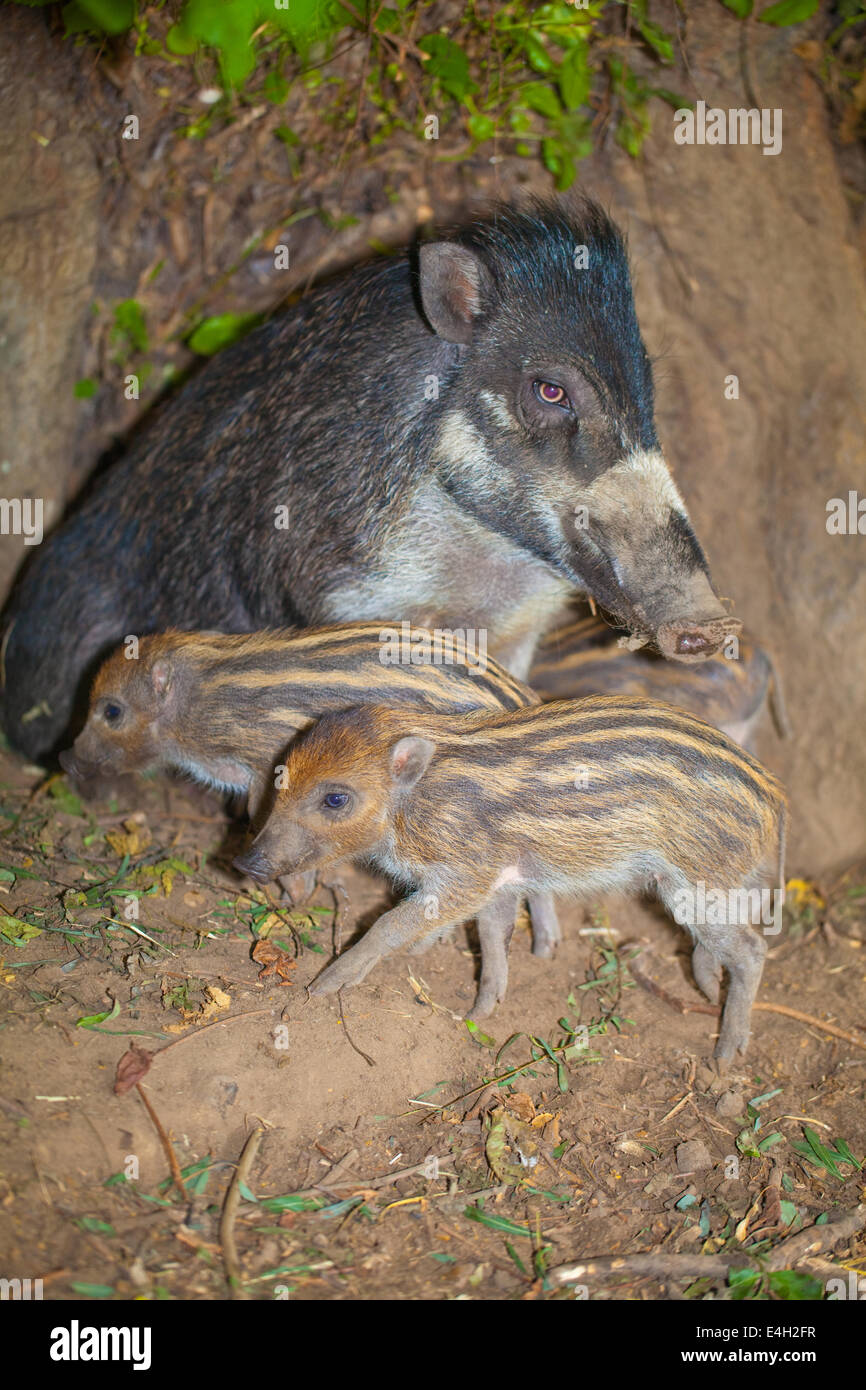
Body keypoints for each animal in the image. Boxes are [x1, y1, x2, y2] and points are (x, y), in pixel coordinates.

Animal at [2, 198, 736, 764]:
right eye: (551, 389)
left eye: (646, 392)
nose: (712, 623)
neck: (478, 574)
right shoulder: (339, 590)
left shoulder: (519, 630)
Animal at [235, 697, 787, 1061]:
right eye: (281, 778)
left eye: (335, 799)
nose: (243, 865)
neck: (411, 807)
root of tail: (772, 794)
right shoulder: (500, 878)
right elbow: (491, 934)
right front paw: (481, 1010)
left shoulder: (469, 872)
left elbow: (391, 924)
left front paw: (325, 985)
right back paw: (706, 988)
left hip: (694, 879)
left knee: (752, 948)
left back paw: (726, 1054)